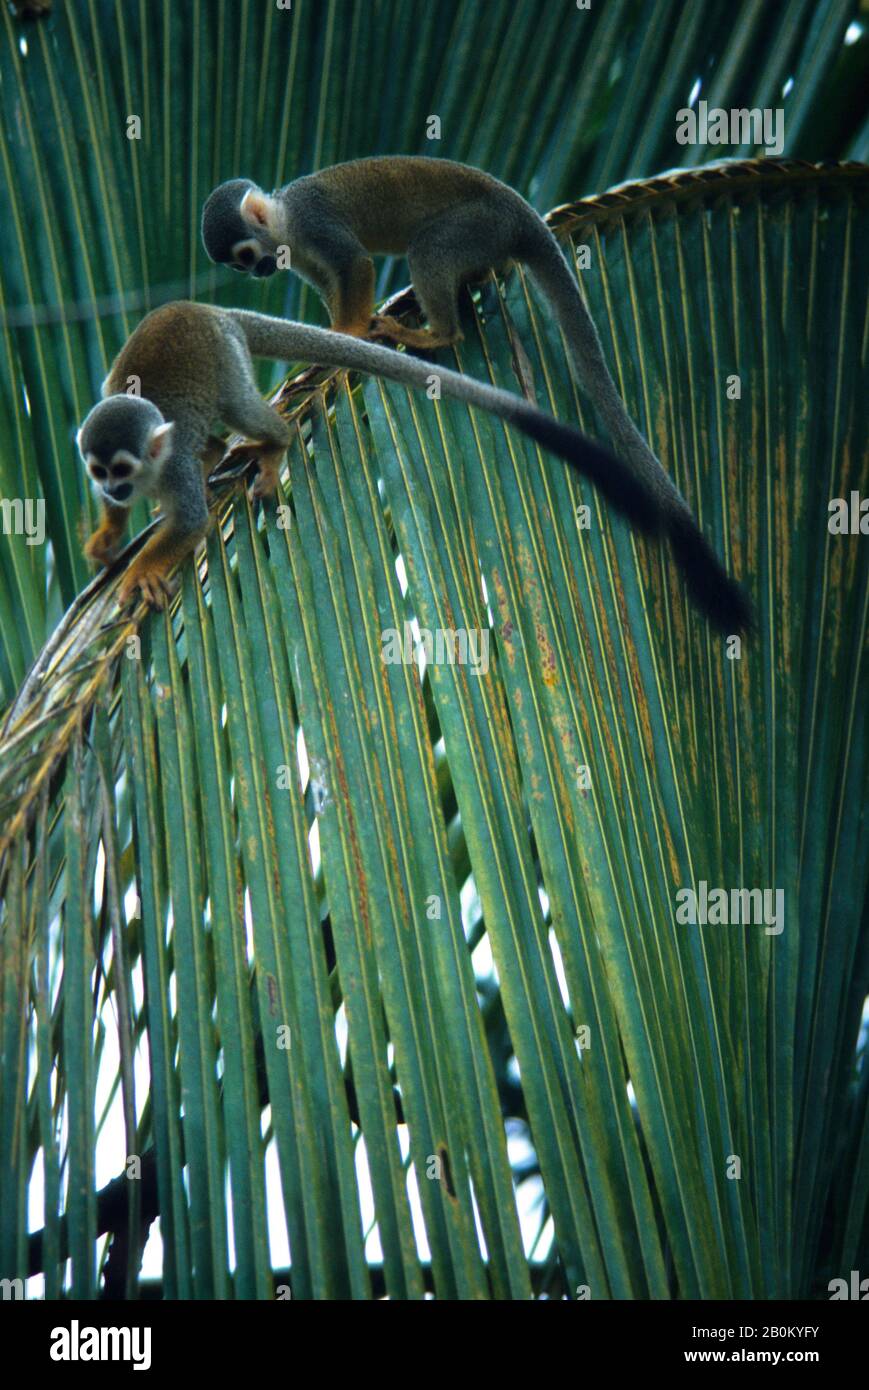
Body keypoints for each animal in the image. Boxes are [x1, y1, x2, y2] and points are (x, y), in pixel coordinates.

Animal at [77, 299, 749, 628]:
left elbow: (189, 521)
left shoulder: (170, 472)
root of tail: (207, 309)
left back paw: (273, 444)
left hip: (226, 355)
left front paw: (143, 569)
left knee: (242, 405)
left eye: (122, 470)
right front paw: (108, 536)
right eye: (99, 473)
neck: (151, 475)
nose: (115, 490)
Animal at [202, 157, 751, 633]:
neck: (282, 219)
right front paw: (337, 333)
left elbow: (354, 264)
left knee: (431, 246)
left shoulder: (313, 223)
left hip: (480, 224)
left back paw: (440, 334)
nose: (257, 272)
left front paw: (350, 334)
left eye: (245, 256)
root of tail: (517, 208)